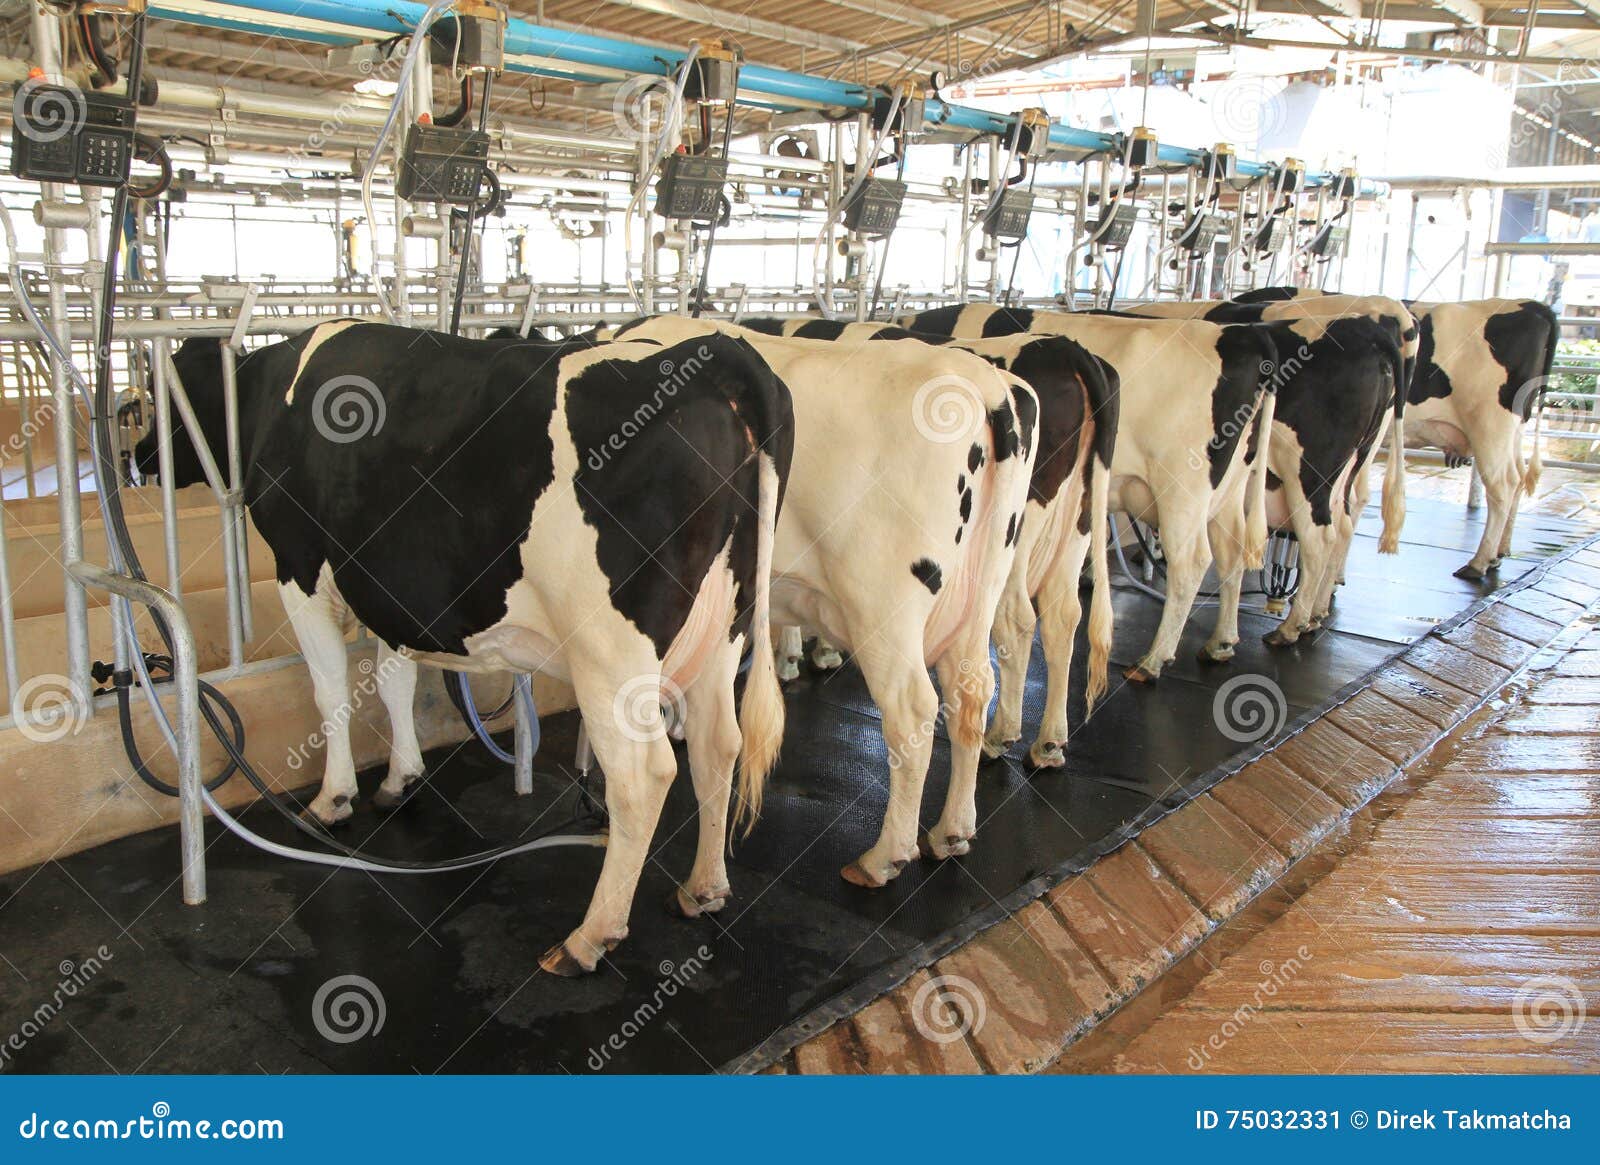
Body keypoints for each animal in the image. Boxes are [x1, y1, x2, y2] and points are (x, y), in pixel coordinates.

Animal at [133, 322, 794, 976]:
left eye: (162, 392)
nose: (137, 456)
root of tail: (715, 354)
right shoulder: (394, 592)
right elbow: (392, 679)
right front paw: (399, 779)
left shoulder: (300, 569)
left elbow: (330, 691)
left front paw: (331, 799)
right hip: (725, 623)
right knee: (717, 743)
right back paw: (702, 889)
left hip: (610, 650)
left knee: (644, 774)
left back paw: (588, 937)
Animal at [613, 315, 1038, 883]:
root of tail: (989, 385)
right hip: (981, 594)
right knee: (971, 690)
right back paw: (951, 831)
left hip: (883, 609)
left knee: (913, 710)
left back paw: (883, 858)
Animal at [901, 304, 1278, 681]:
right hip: (1222, 485)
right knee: (1230, 549)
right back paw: (1222, 643)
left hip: (1179, 490)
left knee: (1190, 562)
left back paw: (1152, 660)